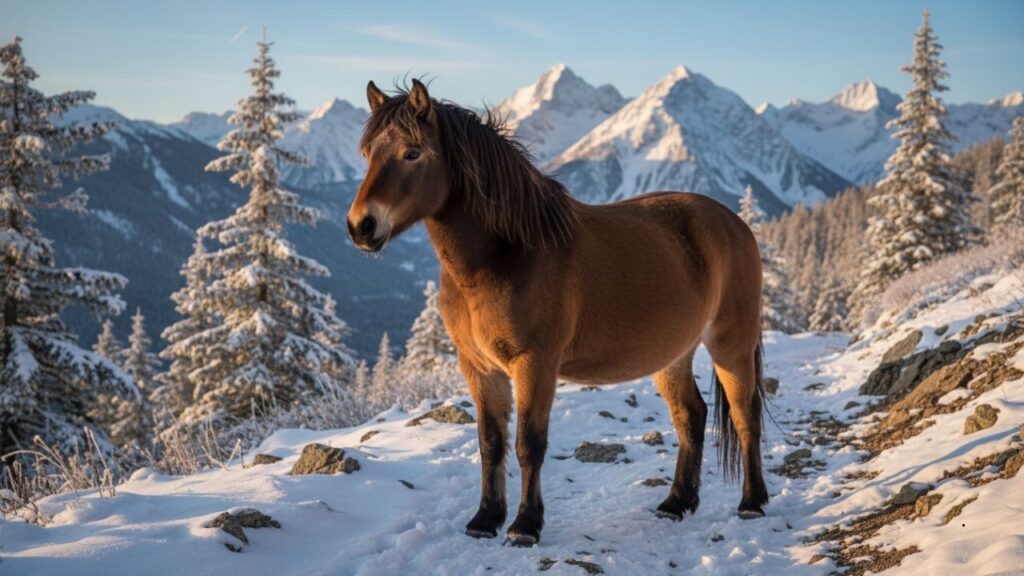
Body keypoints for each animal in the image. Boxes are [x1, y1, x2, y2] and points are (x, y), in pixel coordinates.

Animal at [347, 79, 768, 547]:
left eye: (413, 152)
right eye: (368, 154)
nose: (362, 226)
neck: (507, 254)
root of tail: (736, 224)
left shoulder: (535, 364)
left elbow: (529, 444)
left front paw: (525, 525)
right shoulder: (479, 368)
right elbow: (491, 443)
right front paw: (485, 519)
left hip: (730, 344)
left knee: (745, 415)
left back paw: (751, 502)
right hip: (673, 355)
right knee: (691, 417)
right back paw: (677, 503)